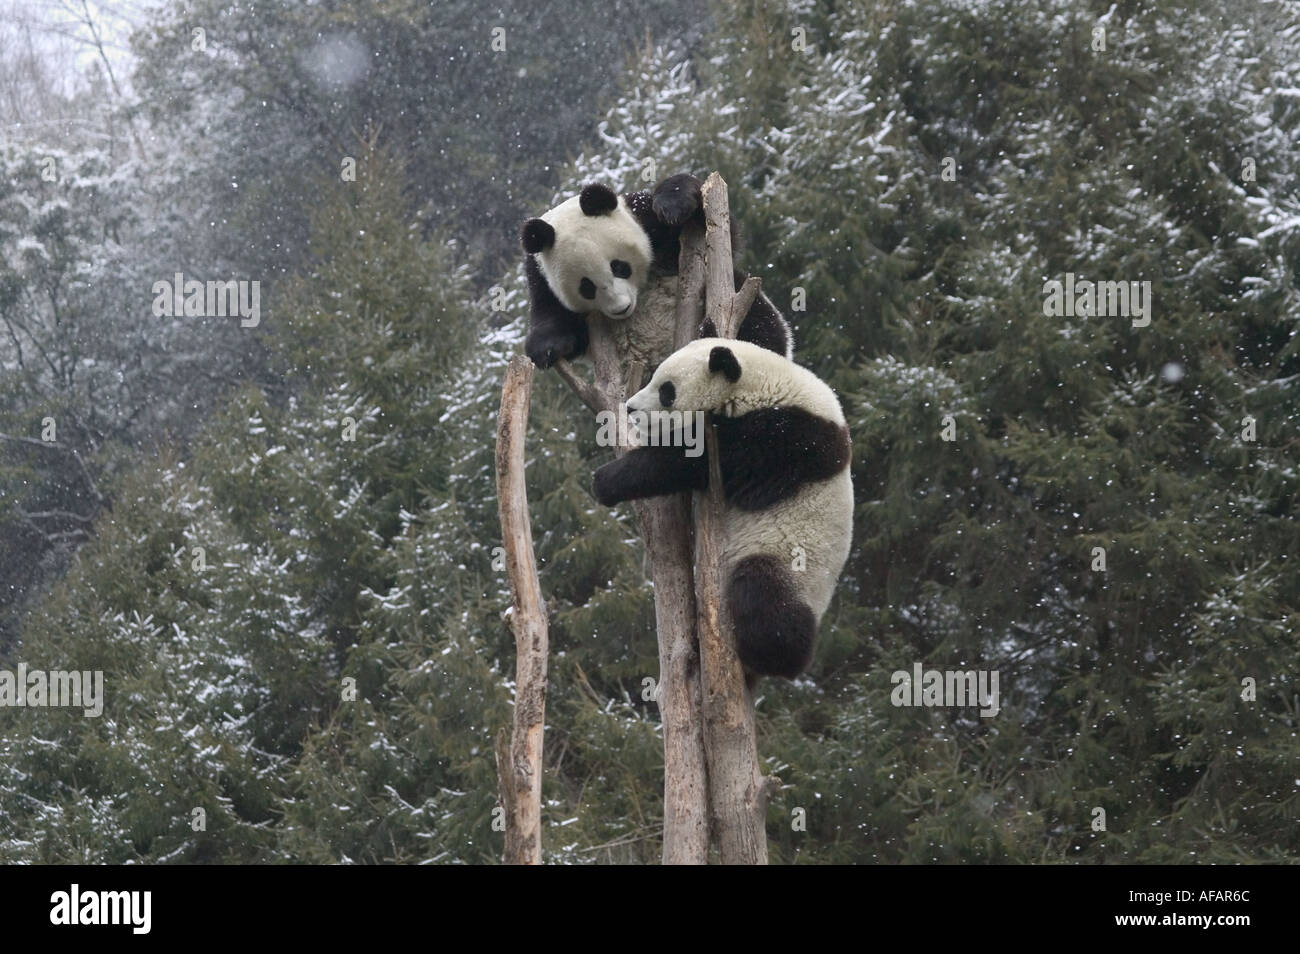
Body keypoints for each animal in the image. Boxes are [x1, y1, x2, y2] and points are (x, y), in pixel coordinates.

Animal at [520, 173, 792, 369]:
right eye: (586, 287)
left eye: (619, 267)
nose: (621, 308)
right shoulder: (540, 276)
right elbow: (552, 316)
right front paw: (548, 347)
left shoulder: (645, 221)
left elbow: (718, 233)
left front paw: (675, 203)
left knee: (760, 326)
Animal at [592, 338, 853, 679]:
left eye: (666, 391)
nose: (631, 408)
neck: (763, 385)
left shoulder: (783, 439)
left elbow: (688, 461)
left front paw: (606, 481)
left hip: (794, 563)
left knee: (764, 597)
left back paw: (772, 657)